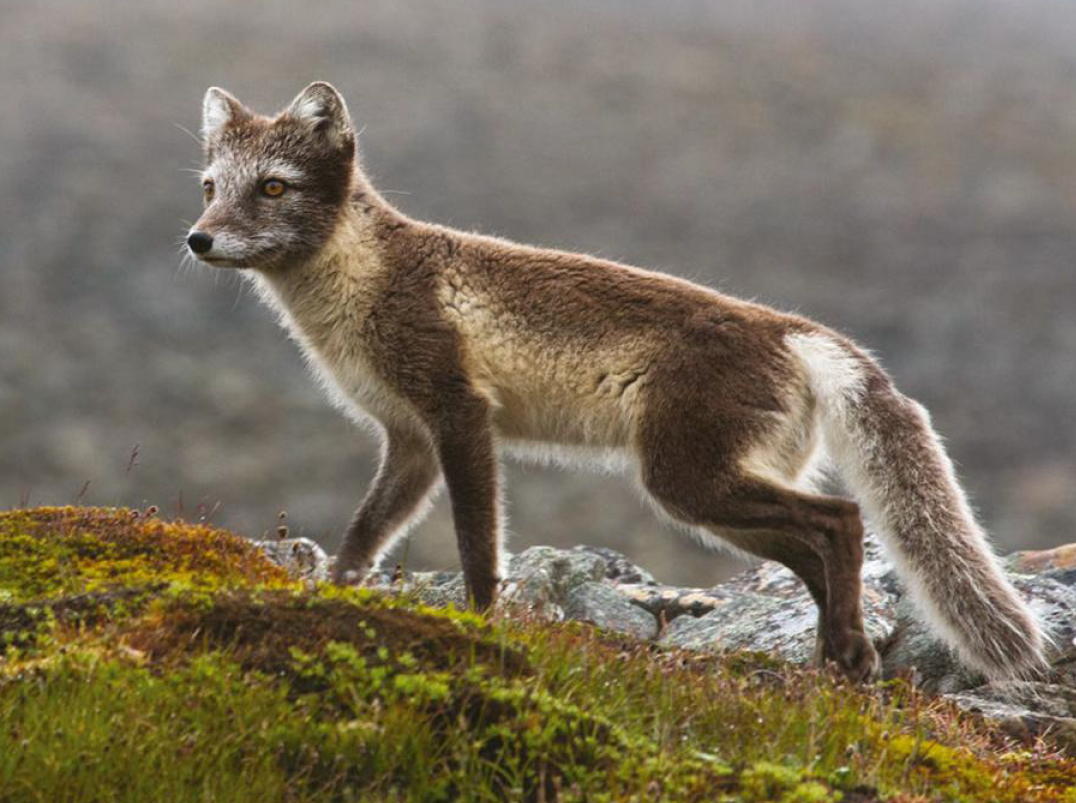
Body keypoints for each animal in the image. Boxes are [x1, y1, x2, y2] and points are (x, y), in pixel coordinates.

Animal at [185, 81, 1046, 683]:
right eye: (209, 186)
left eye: (272, 187)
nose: (196, 240)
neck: (357, 284)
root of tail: (792, 330)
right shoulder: (410, 439)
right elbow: (362, 538)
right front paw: (324, 602)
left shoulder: (460, 416)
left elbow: (477, 545)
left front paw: (481, 625)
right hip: (710, 494)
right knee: (811, 545)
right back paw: (846, 652)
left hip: (688, 481)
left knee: (839, 519)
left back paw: (845, 649)